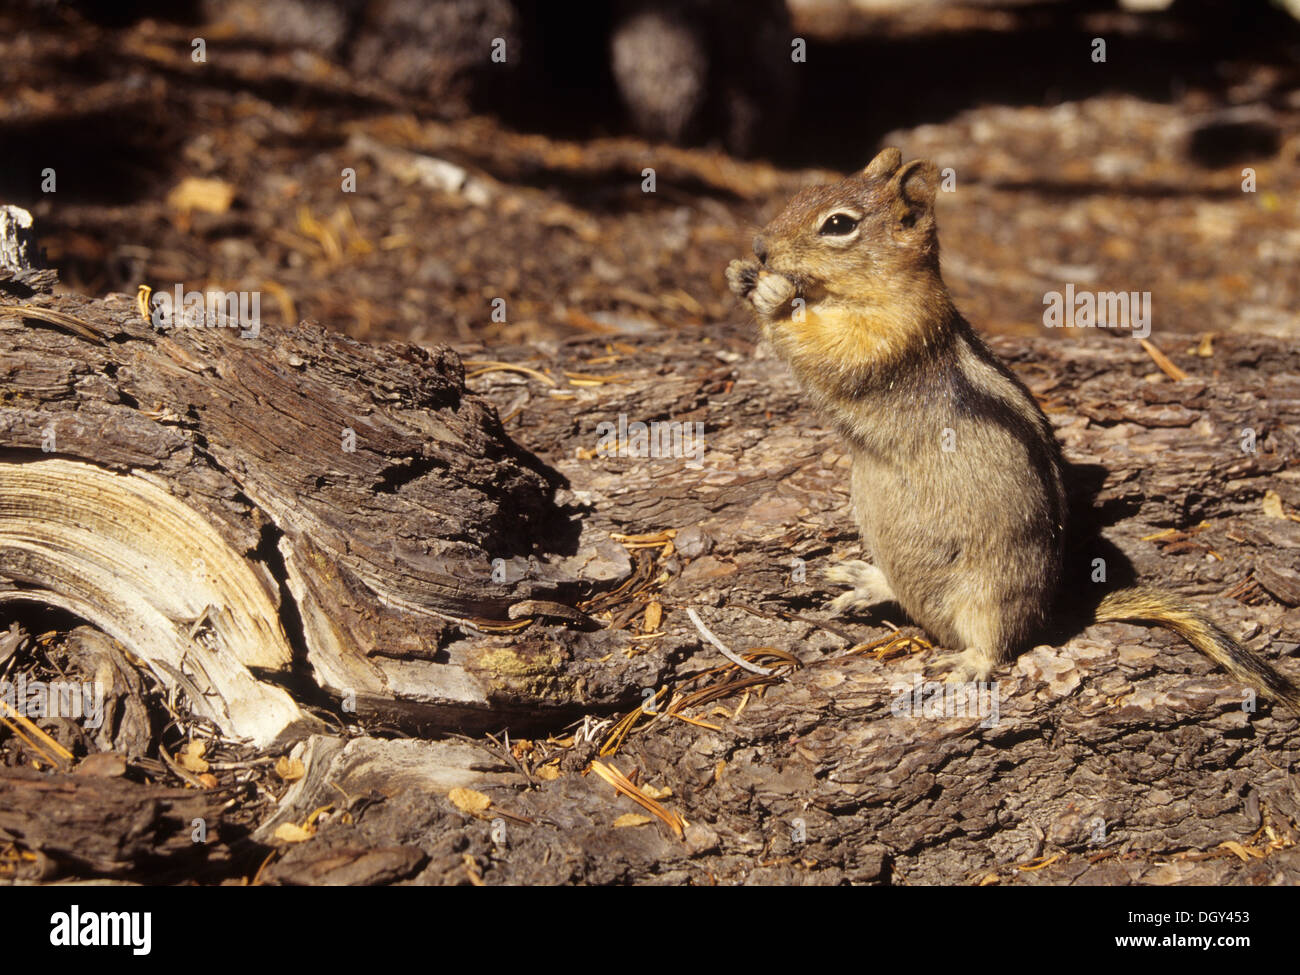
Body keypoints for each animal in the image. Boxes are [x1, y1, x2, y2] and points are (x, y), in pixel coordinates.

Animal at [726, 147, 1300, 713]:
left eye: (838, 225)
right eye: (805, 192)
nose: (759, 247)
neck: (880, 289)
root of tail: (1052, 616)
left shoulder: (886, 336)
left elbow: (826, 343)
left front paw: (770, 292)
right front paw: (740, 273)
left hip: (992, 592)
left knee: (997, 645)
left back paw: (964, 665)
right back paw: (868, 581)